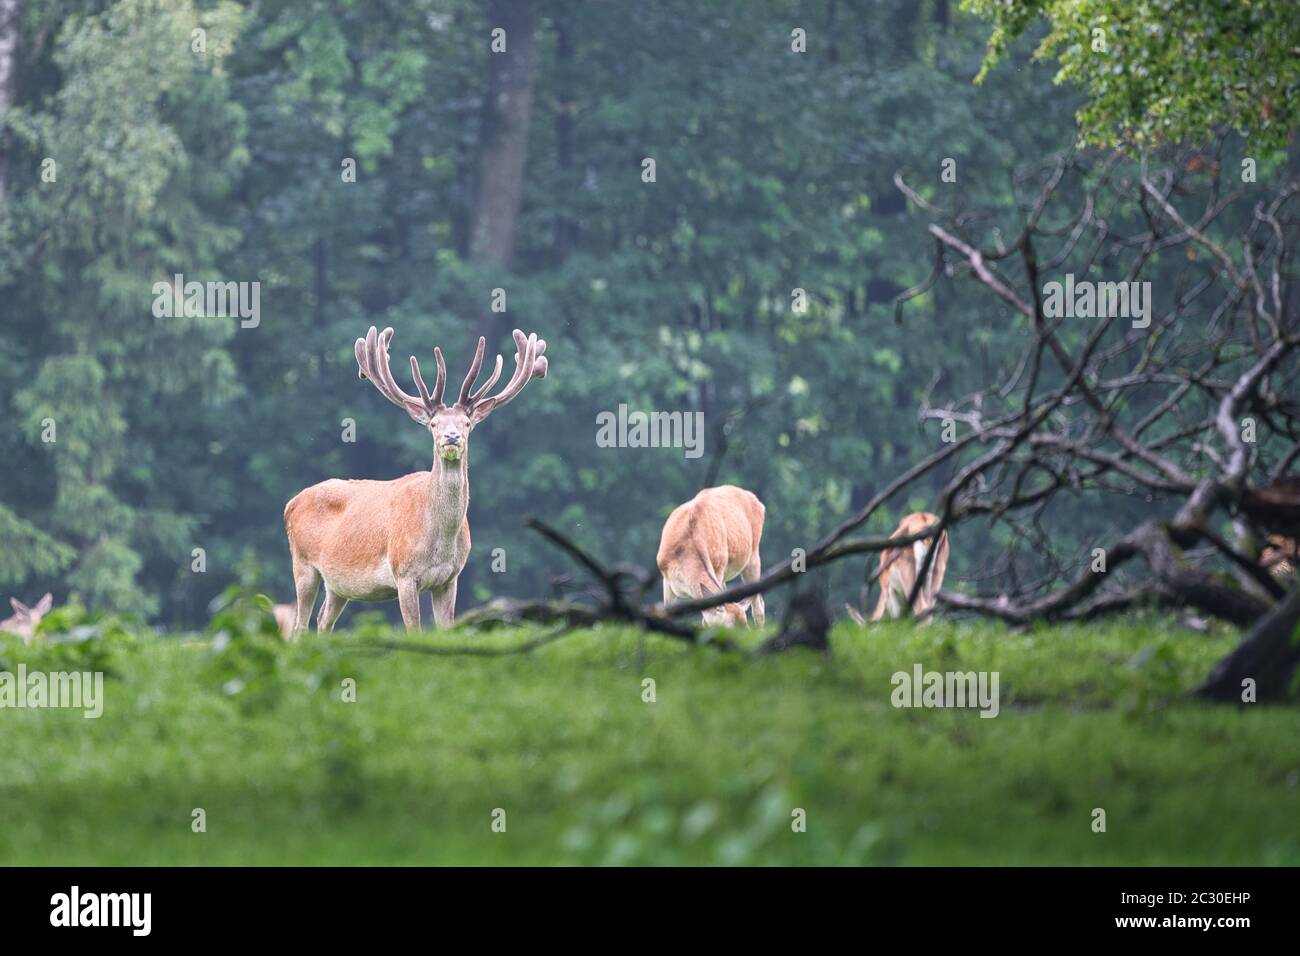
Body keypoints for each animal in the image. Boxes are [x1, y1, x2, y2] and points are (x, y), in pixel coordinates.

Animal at [284, 326, 548, 634]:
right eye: (434, 424)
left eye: (466, 424)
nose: (451, 437)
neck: (438, 542)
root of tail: (290, 504)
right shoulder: (404, 575)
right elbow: (414, 630)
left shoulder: (450, 578)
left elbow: (447, 630)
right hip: (303, 565)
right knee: (299, 626)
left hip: (338, 584)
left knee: (323, 619)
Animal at [657, 485, 765, 628]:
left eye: (746, 627)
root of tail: (759, 503)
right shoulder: (666, 580)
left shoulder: (718, 568)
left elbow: (704, 621)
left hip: (753, 556)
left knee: (759, 606)